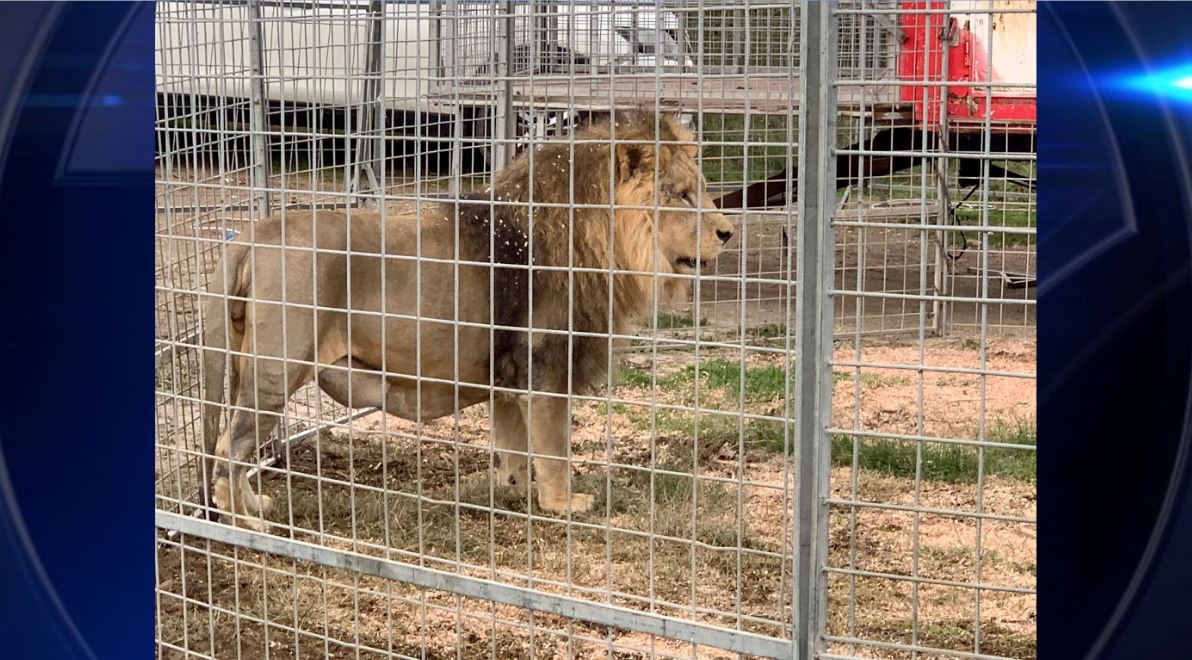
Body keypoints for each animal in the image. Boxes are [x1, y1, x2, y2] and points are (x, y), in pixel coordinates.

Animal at [199, 111, 735, 530]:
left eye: (704, 190)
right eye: (682, 195)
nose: (728, 233)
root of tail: (255, 235)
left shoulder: (508, 376)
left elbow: (515, 444)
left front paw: (514, 490)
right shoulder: (544, 365)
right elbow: (554, 448)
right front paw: (564, 504)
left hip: (249, 365)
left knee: (235, 448)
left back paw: (255, 506)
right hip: (275, 371)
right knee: (229, 446)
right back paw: (245, 524)